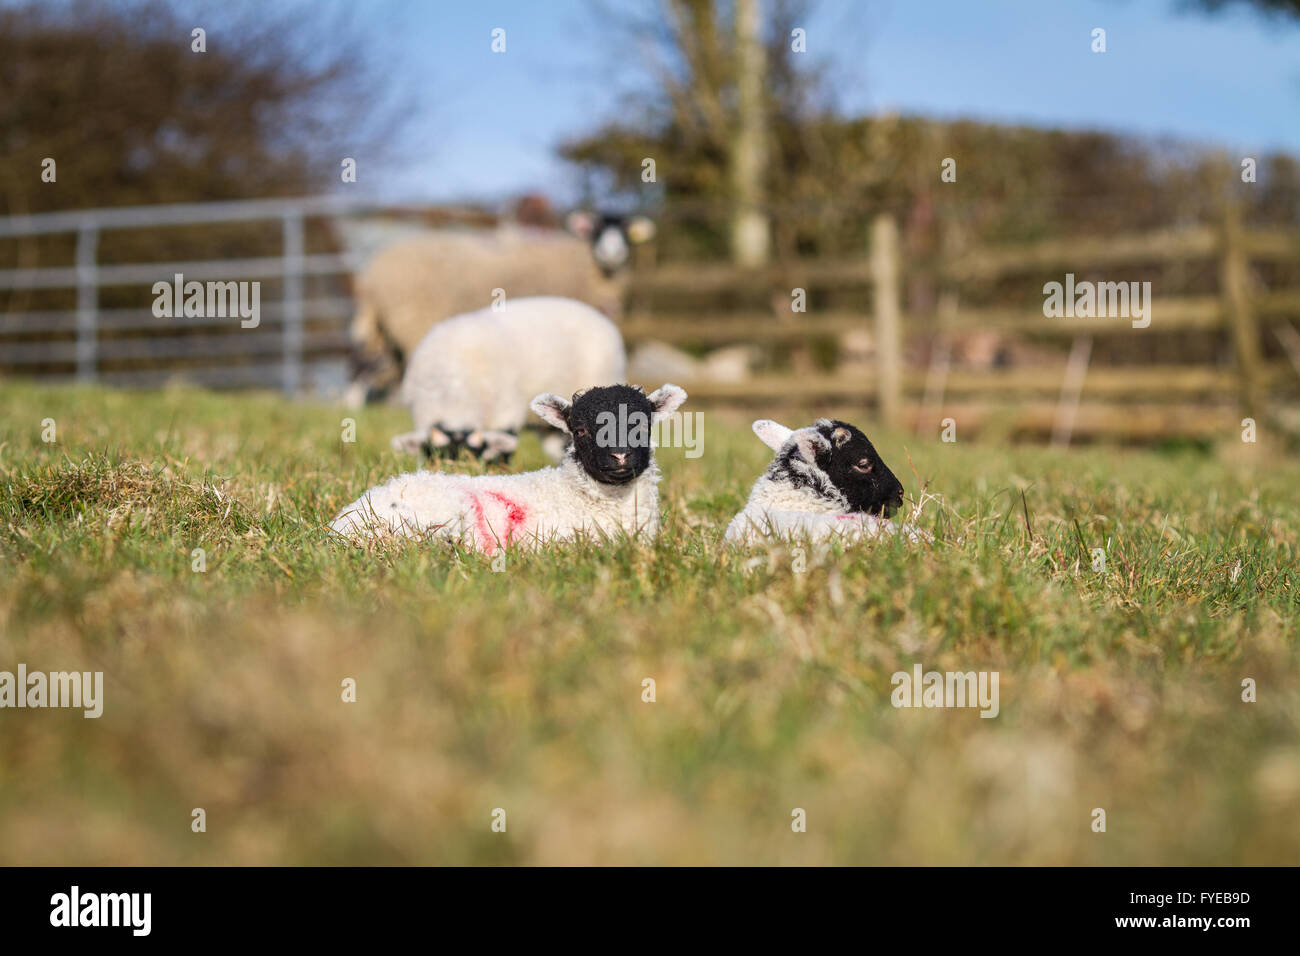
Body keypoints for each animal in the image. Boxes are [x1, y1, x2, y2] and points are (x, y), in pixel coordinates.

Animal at [346, 212, 655, 405]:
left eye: (626, 231)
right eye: (596, 230)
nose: (613, 253)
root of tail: (374, 270)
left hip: (389, 323)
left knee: (371, 359)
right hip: (412, 316)